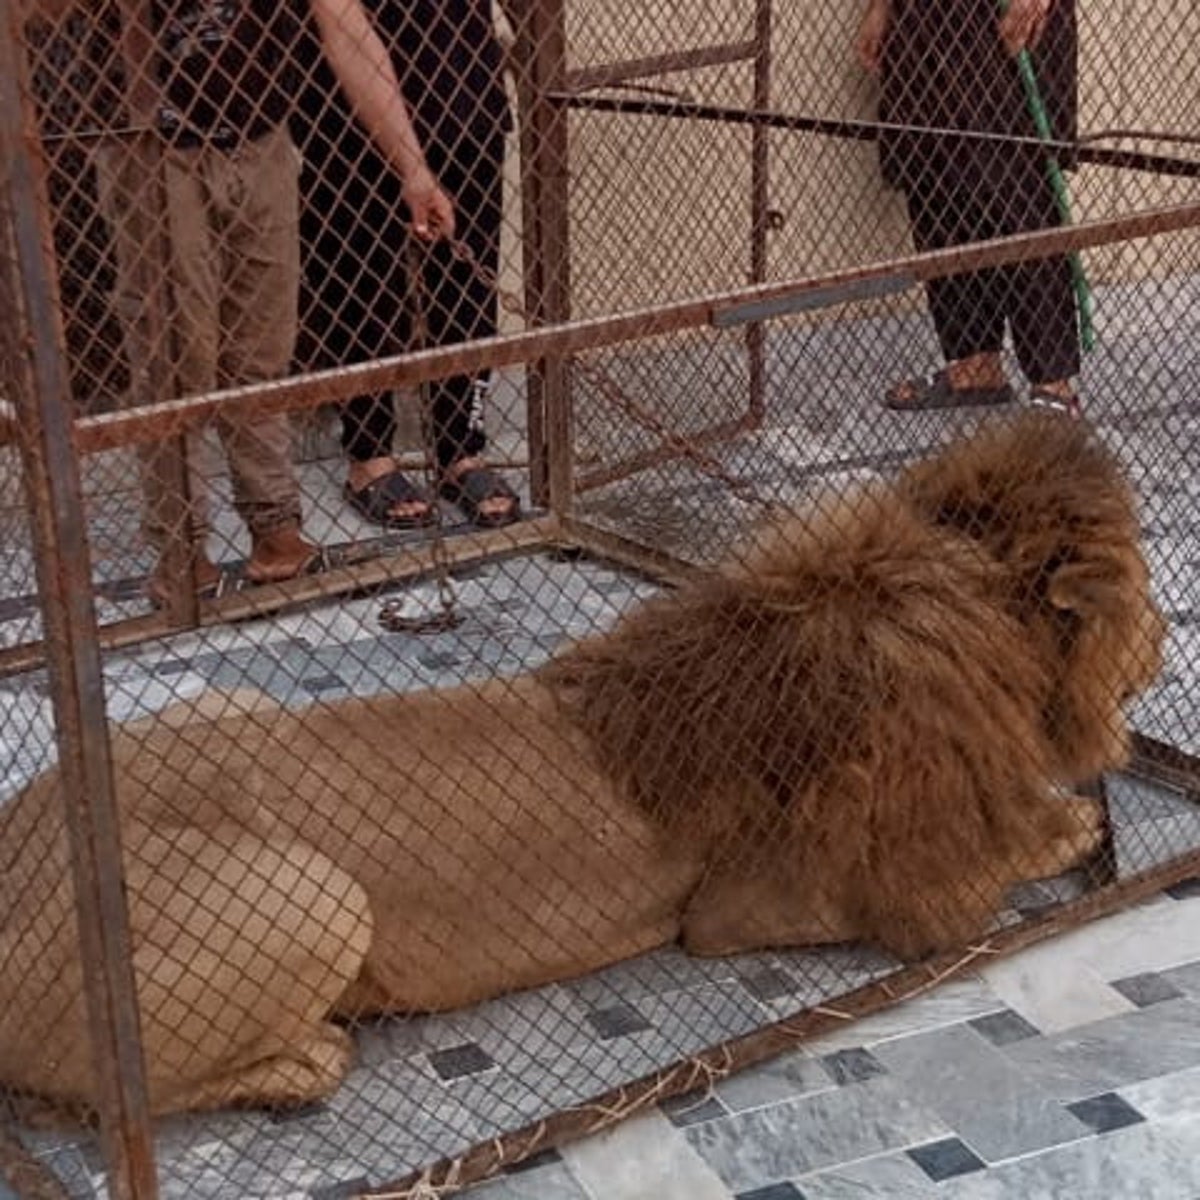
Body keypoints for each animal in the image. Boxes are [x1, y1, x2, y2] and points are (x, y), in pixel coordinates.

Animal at [0, 413, 1165, 1117]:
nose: (1160, 648)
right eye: (1141, 589)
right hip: (313, 893)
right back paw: (309, 1060)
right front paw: (1067, 821)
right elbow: (994, 858)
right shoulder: (754, 907)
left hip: (222, 707)